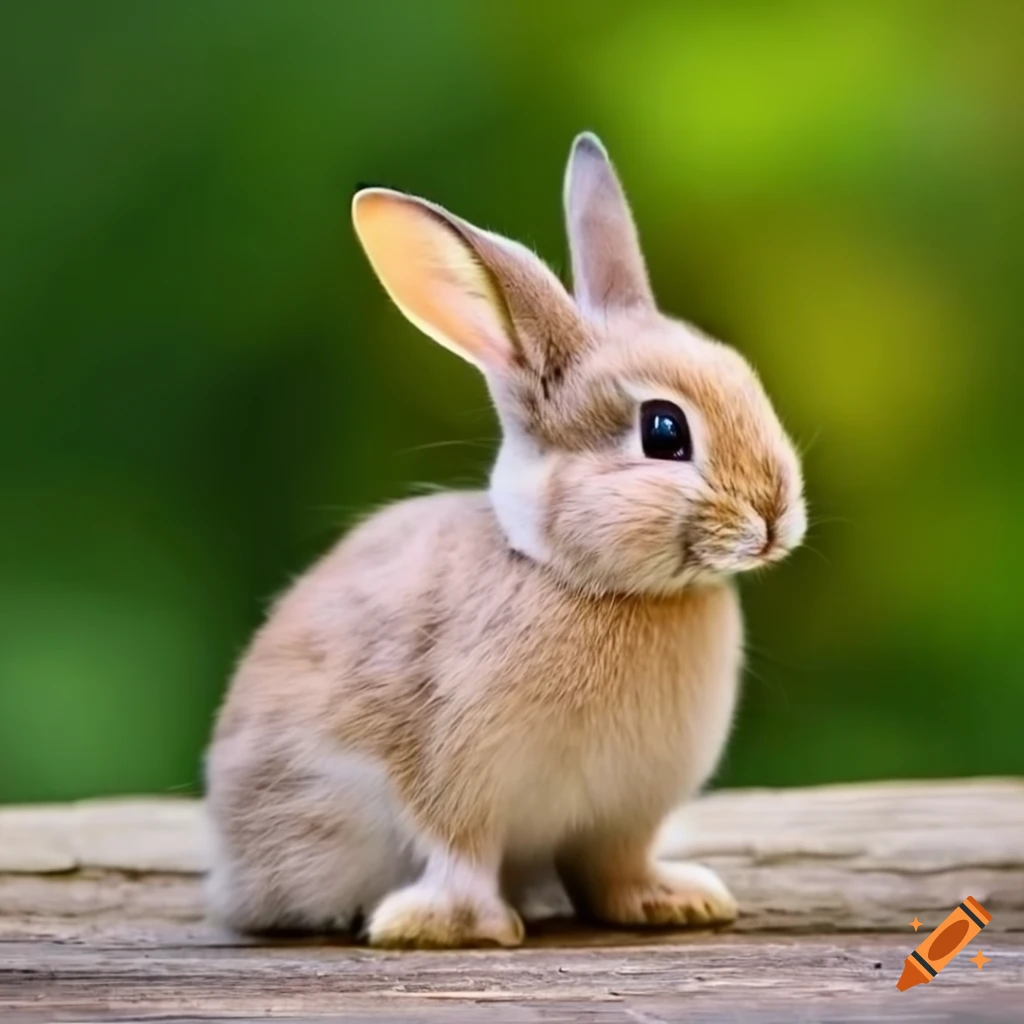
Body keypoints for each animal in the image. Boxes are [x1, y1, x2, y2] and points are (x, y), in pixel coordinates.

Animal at [203, 132, 807, 949]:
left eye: (744, 378)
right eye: (664, 431)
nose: (775, 517)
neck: (585, 579)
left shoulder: (625, 815)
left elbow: (616, 867)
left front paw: (667, 902)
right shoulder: (451, 774)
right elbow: (460, 850)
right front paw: (454, 926)